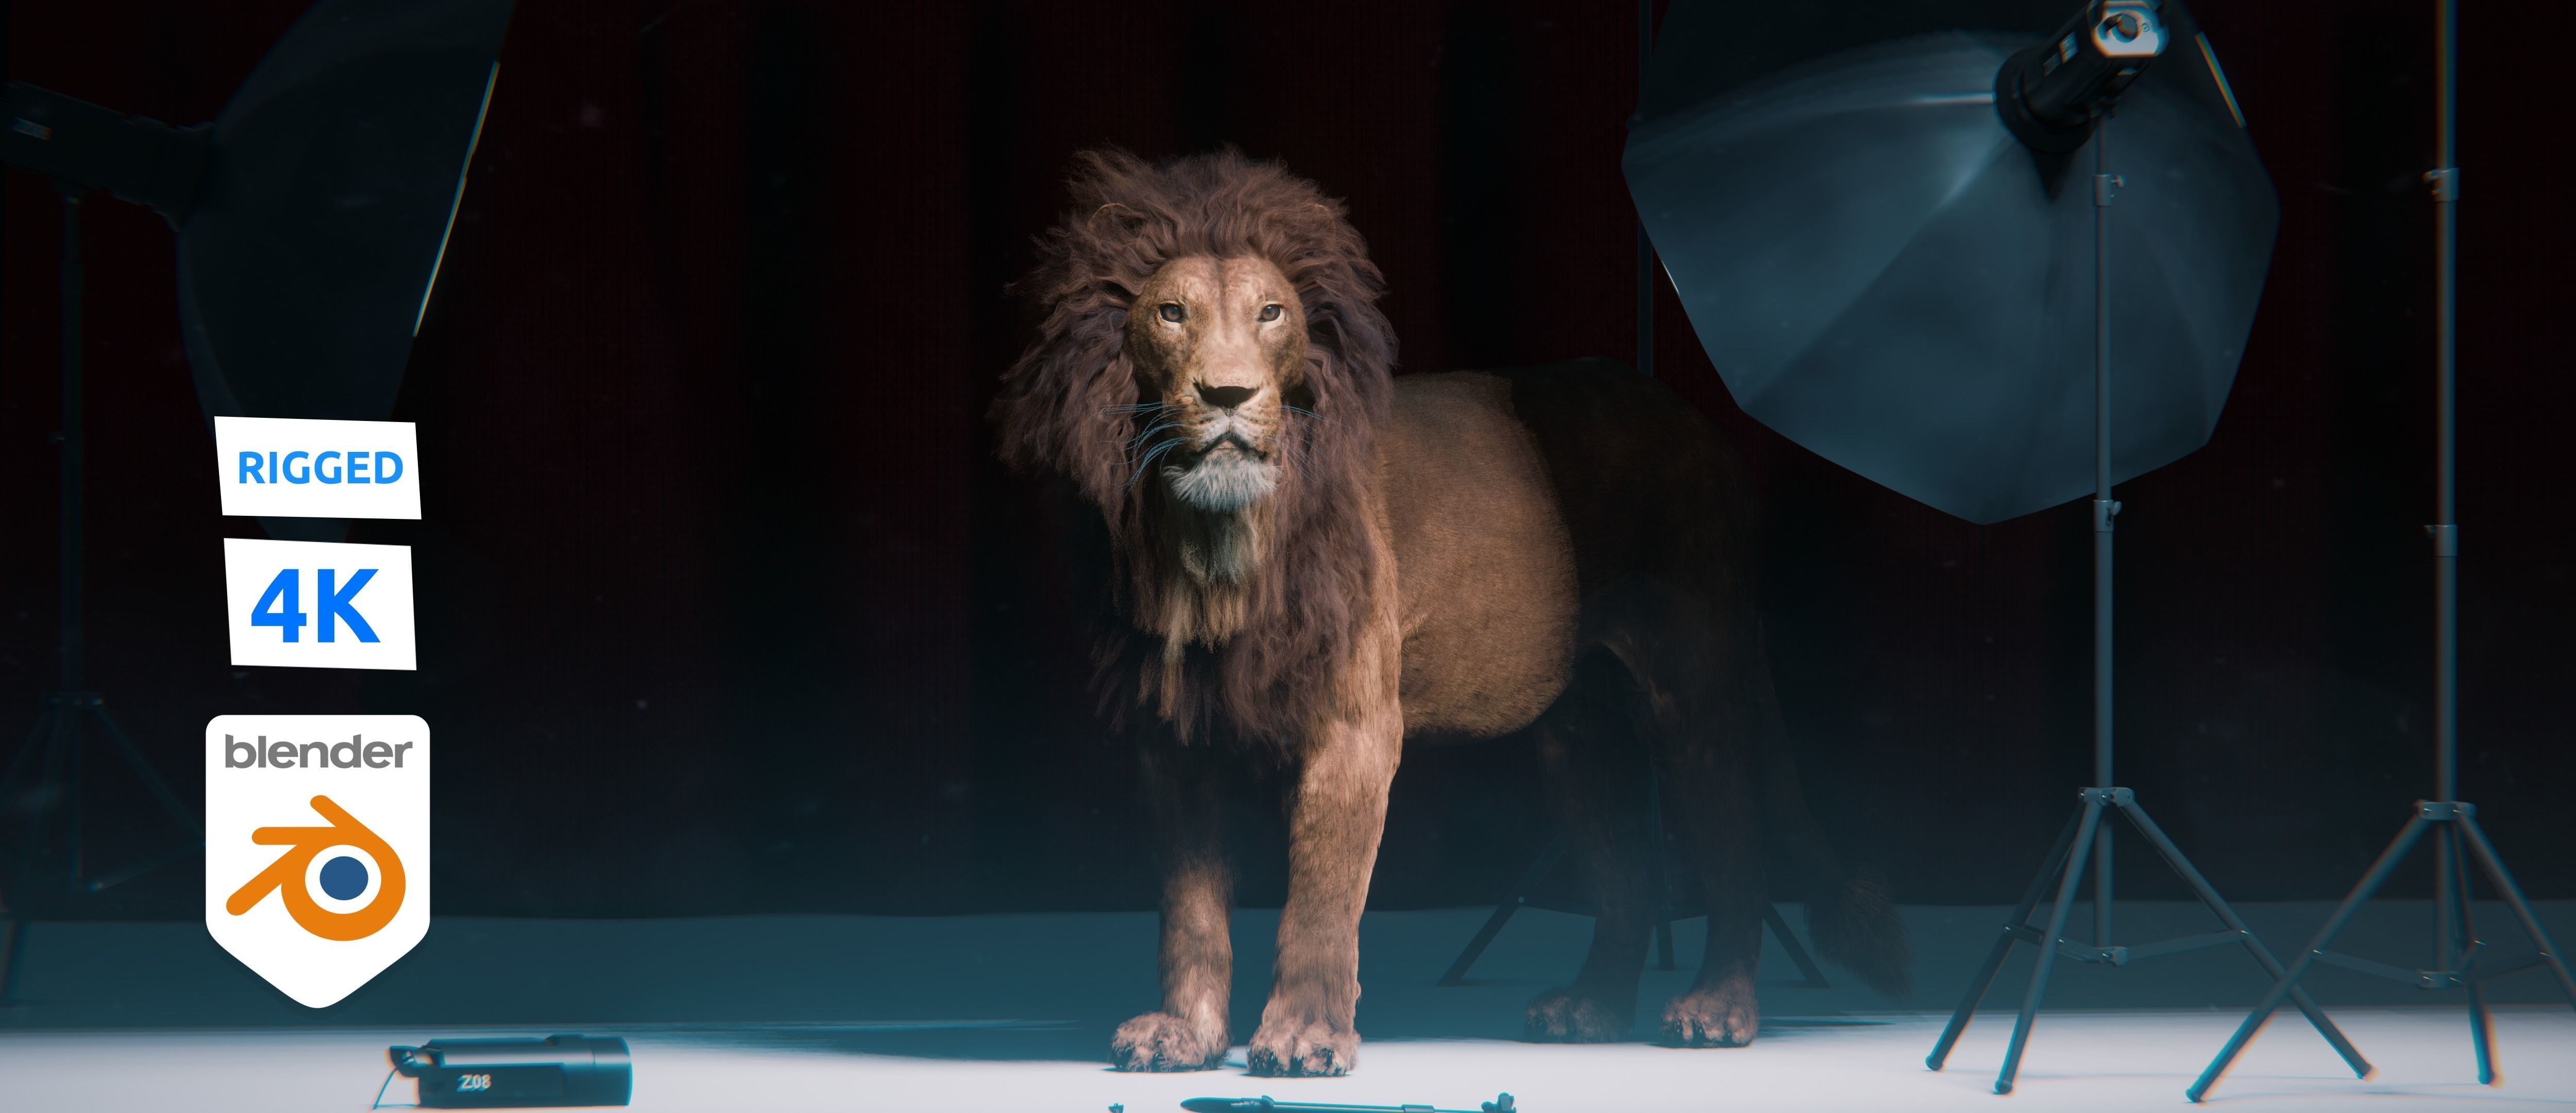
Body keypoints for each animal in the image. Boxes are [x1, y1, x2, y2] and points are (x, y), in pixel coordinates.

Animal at [992, 148, 1911, 1077]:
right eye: (1172, 313)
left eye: (1271, 313)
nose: (1226, 394)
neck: (1218, 541)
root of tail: (1701, 425)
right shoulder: (1173, 730)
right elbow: (1190, 909)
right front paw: (1183, 1034)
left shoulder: (1354, 723)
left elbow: (1320, 897)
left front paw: (1304, 1039)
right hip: (1580, 725)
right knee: (1629, 870)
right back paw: (1590, 1008)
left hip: (1691, 684)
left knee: (1736, 842)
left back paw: (1716, 1007)